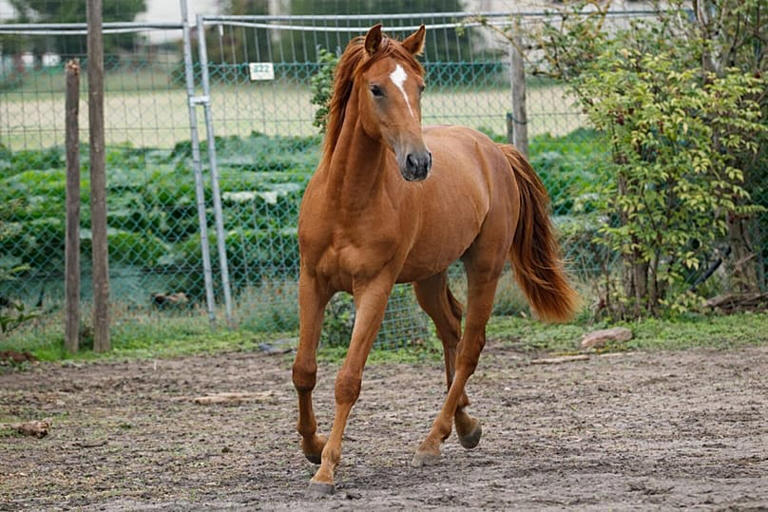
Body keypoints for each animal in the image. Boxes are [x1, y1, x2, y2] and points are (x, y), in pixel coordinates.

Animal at [292, 24, 578, 495]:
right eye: (376, 88)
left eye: (420, 87)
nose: (419, 162)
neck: (347, 200)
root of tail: (493, 149)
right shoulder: (312, 282)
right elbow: (304, 370)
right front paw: (312, 447)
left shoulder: (375, 288)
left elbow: (348, 380)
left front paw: (326, 469)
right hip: (429, 278)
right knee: (451, 329)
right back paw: (463, 425)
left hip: (484, 266)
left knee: (469, 348)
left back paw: (433, 440)